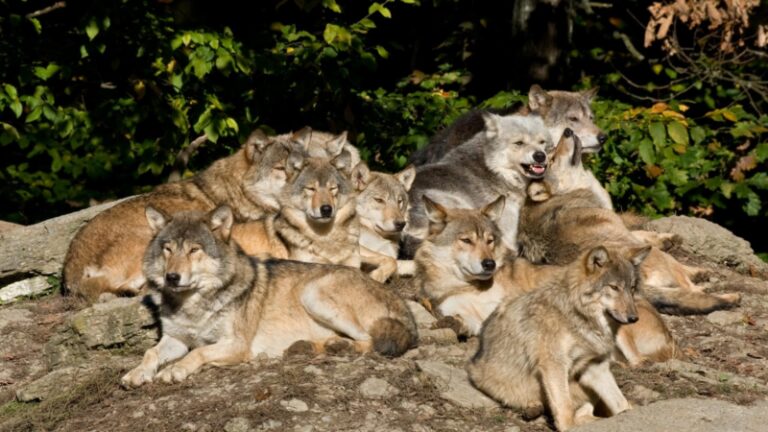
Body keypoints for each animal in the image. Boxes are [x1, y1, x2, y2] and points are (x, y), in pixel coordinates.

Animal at [120, 205, 417, 388]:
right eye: (168, 249)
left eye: (194, 250)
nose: (172, 277)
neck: (193, 304)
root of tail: (400, 302)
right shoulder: (176, 339)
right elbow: (150, 352)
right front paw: (136, 373)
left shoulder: (236, 343)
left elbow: (199, 352)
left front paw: (174, 370)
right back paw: (312, 347)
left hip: (313, 293)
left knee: (369, 342)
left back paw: (334, 347)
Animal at [467, 246, 651, 431]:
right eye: (614, 287)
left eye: (632, 288)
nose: (634, 318)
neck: (576, 317)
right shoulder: (554, 364)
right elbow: (564, 406)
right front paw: (568, 427)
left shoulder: (595, 367)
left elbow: (621, 403)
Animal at [519, 130, 742, 315]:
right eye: (553, 159)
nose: (567, 130)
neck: (571, 191)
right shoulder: (618, 224)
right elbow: (644, 235)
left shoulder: (621, 225)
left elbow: (644, 233)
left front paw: (668, 238)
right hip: (661, 259)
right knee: (690, 287)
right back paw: (720, 290)